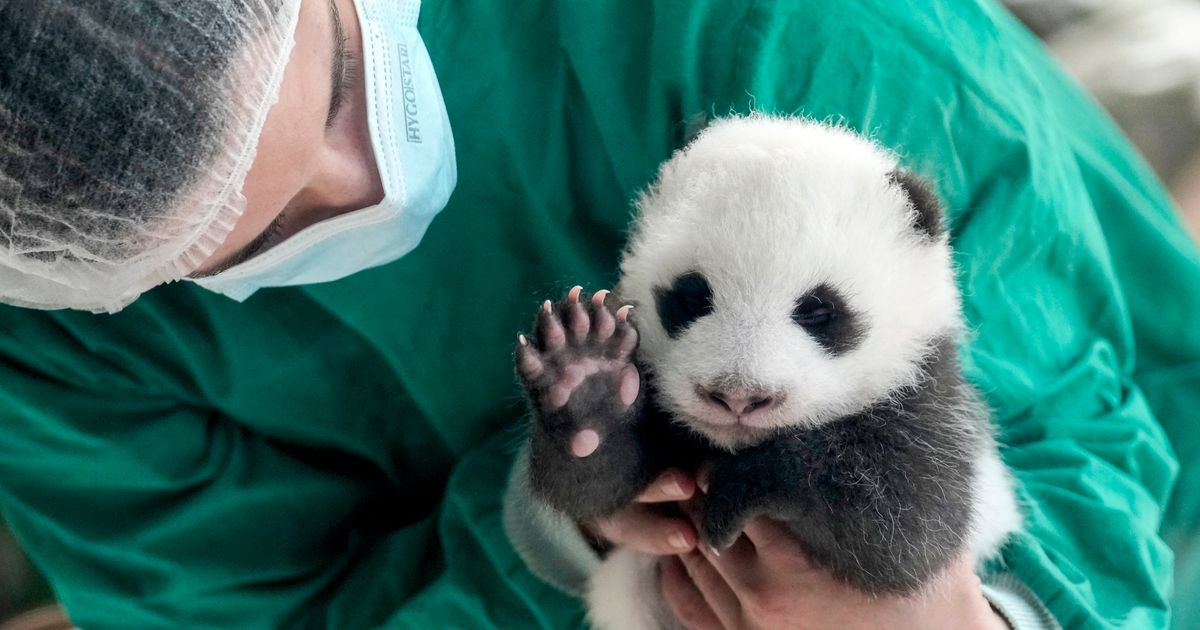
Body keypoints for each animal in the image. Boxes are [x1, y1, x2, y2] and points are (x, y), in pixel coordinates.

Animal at [513, 114, 1021, 630]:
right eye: (692, 296)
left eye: (818, 311)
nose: (737, 397)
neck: (733, 444)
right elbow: (603, 483)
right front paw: (586, 385)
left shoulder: (932, 397)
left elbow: (906, 528)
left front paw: (746, 486)